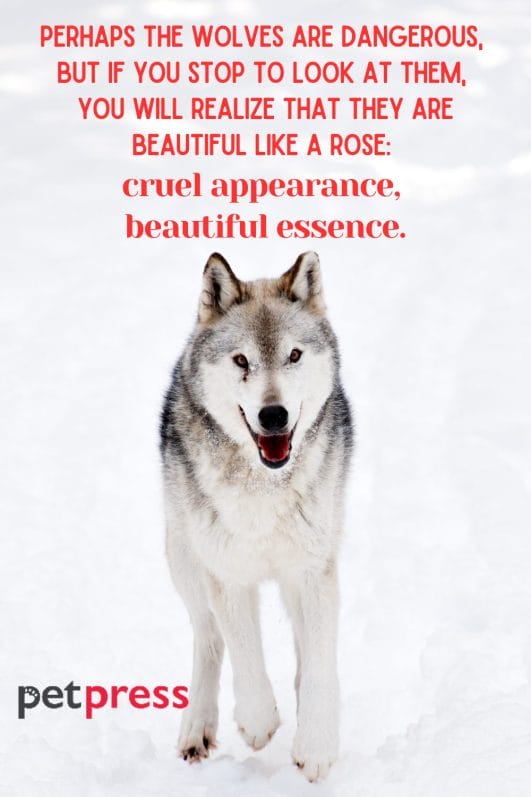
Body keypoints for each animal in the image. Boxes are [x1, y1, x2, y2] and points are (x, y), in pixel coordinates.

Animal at [160, 251, 353, 781]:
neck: (264, 486)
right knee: (208, 637)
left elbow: (322, 661)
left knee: (303, 651)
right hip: (184, 555)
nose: (273, 416)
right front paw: (258, 722)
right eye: (242, 360)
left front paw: (317, 745)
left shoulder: (314, 569)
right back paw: (197, 727)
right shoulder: (227, 572)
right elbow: (244, 652)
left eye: (294, 355)